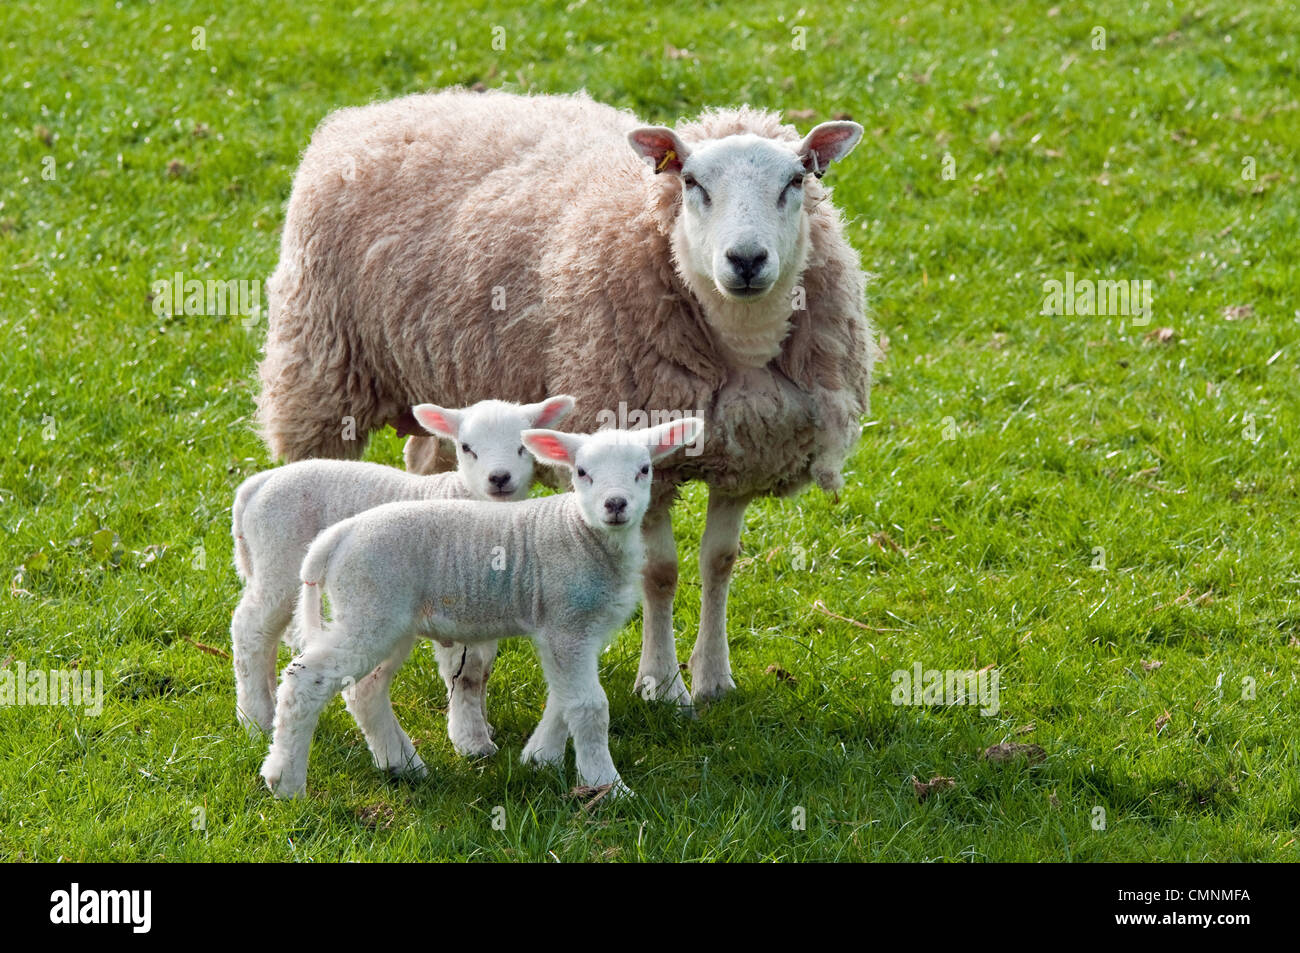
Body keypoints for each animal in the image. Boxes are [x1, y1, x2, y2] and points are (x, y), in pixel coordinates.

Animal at [230, 394, 574, 740]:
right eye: (466, 447)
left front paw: (485, 723)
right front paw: (470, 736)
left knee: (270, 635)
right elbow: (464, 669)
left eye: (521, 447)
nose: (500, 478)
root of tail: (258, 483)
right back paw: (254, 718)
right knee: (250, 627)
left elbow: (484, 666)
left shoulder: (487, 599)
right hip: (280, 558)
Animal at [256, 89, 878, 720]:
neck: (742, 337)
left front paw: (713, 678)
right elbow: (661, 572)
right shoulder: (636, 447)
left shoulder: (743, 450)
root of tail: (376, 111)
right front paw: (662, 684)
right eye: (692, 182)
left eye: (797, 180)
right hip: (320, 366)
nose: (746, 261)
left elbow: (719, 562)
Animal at [259, 417, 704, 799]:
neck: (581, 531)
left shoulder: (569, 630)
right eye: (581, 472)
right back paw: (285, 782)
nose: (615, 504)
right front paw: (608, 787)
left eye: (644, 469)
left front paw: (539, 758)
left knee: (365, 688)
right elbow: (589, 706)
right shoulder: (568, 625)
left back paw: (404, 766)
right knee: (305, 679)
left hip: (387, 617)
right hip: (369, 607)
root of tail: (337, 536)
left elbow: (562, 698)